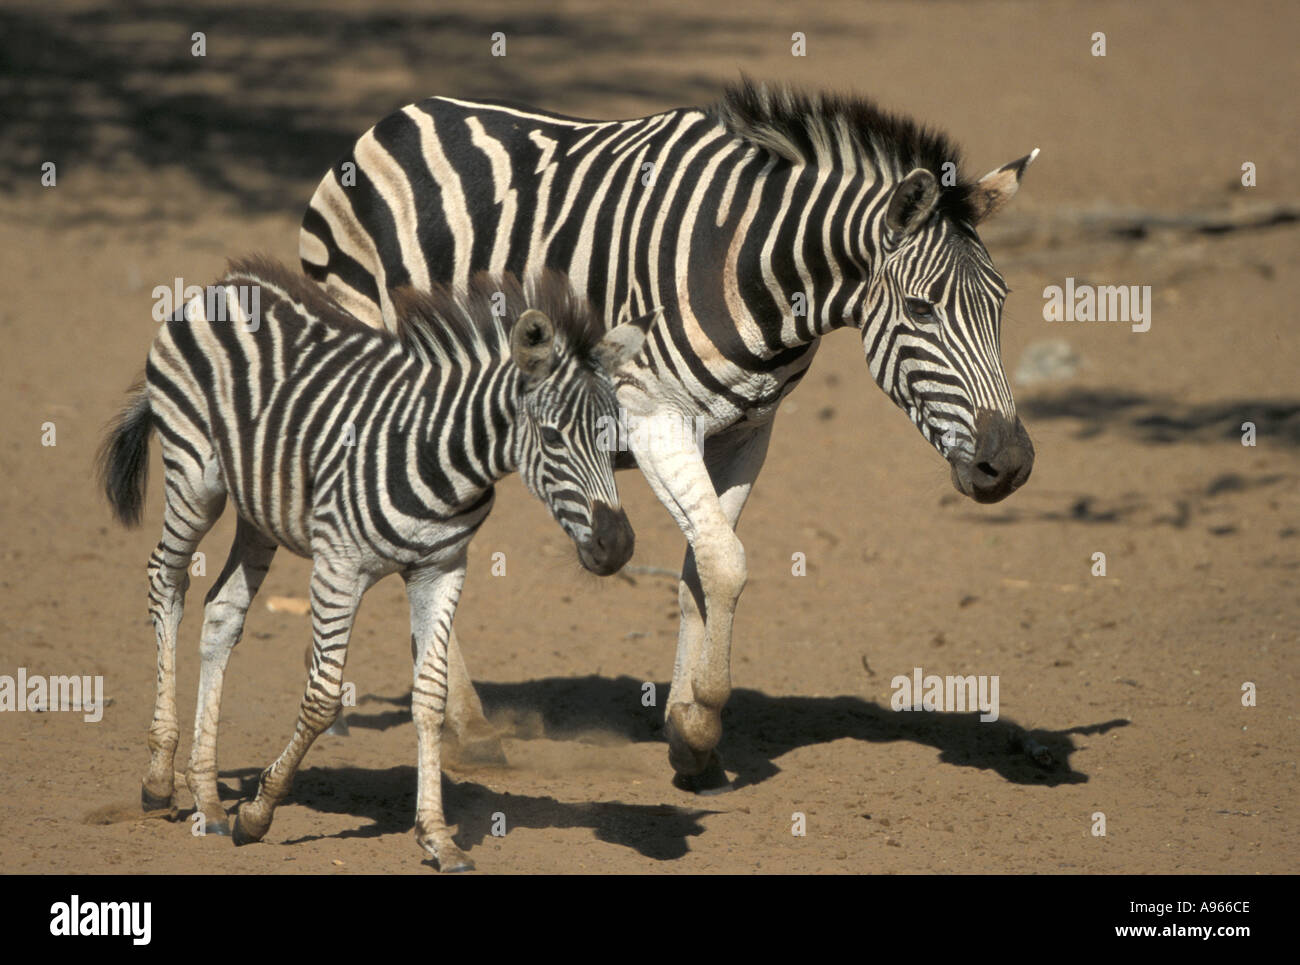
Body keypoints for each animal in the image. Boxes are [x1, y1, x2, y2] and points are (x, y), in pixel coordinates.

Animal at [98, 258, 647, 871]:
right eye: (552, 438)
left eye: (617, 435)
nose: (617, 546)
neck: (444, 457)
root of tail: (225, 284)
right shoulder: (338, 568)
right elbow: (321, 697)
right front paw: (259, 813)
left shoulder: (442, 569)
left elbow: (429, 697)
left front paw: (437, 837)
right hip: (195, 474)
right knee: (165, 584)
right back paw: (159, 780)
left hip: (259, 508)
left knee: (222, 613)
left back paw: (210, 801)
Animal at [299, 78, 1038, 792]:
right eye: (921, 308)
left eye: (1002, 302)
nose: (1010, 464)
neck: (751, 268)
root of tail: (398, 116)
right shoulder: (652, 416)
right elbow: (728, 562)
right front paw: (702, 720)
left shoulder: (747, 432)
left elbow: (702, 568)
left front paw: (686, 734)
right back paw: (471, 728)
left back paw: (468, 725)